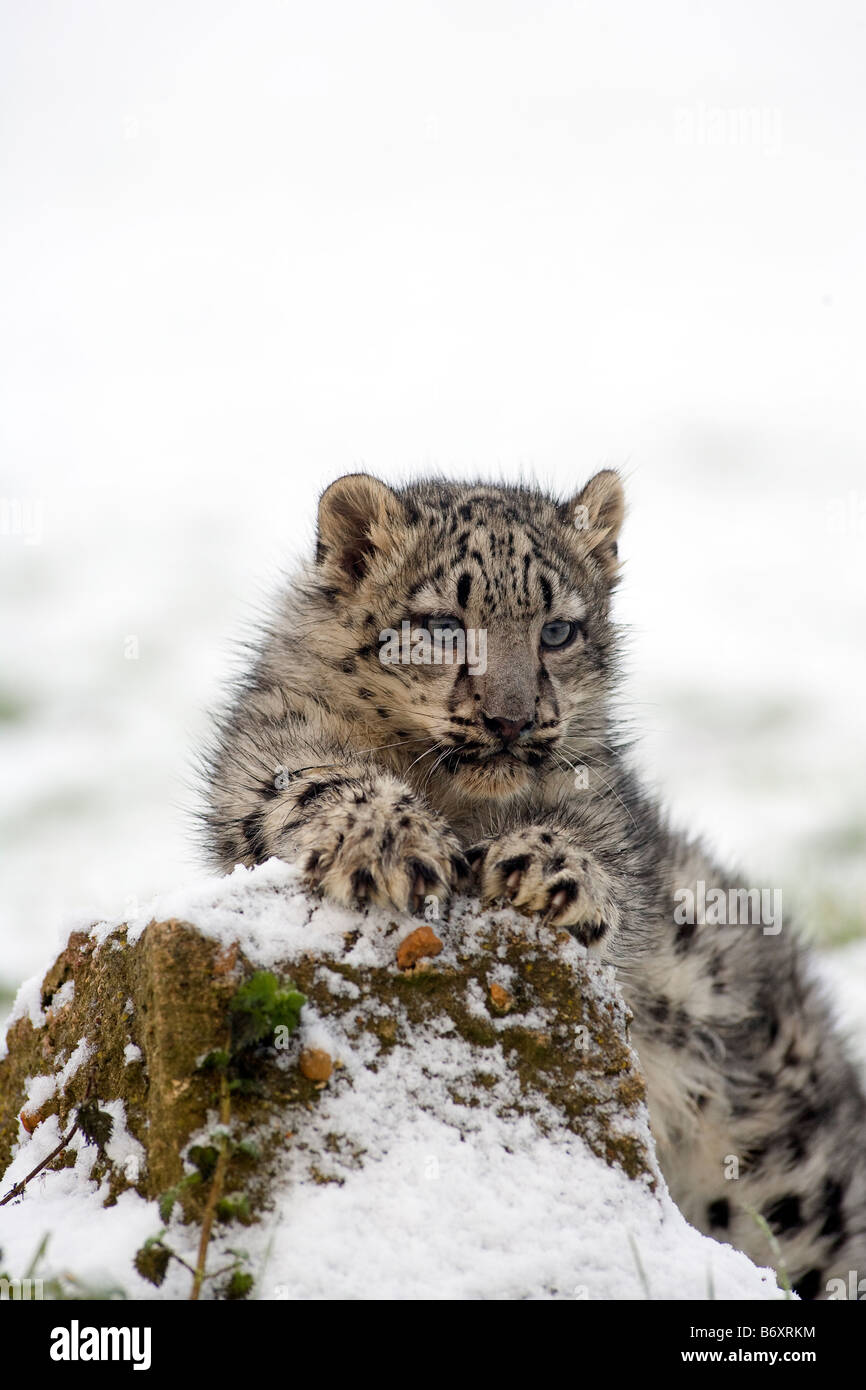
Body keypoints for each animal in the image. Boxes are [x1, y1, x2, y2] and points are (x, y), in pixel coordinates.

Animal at [201, 469, 866, 1299]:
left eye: (558, 631)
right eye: (443, 624)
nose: (511, 719)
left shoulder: (604, 812)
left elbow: (602, 862)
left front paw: (548, 871)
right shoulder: (267, 759)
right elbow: (318, 785)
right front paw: (389, 841)